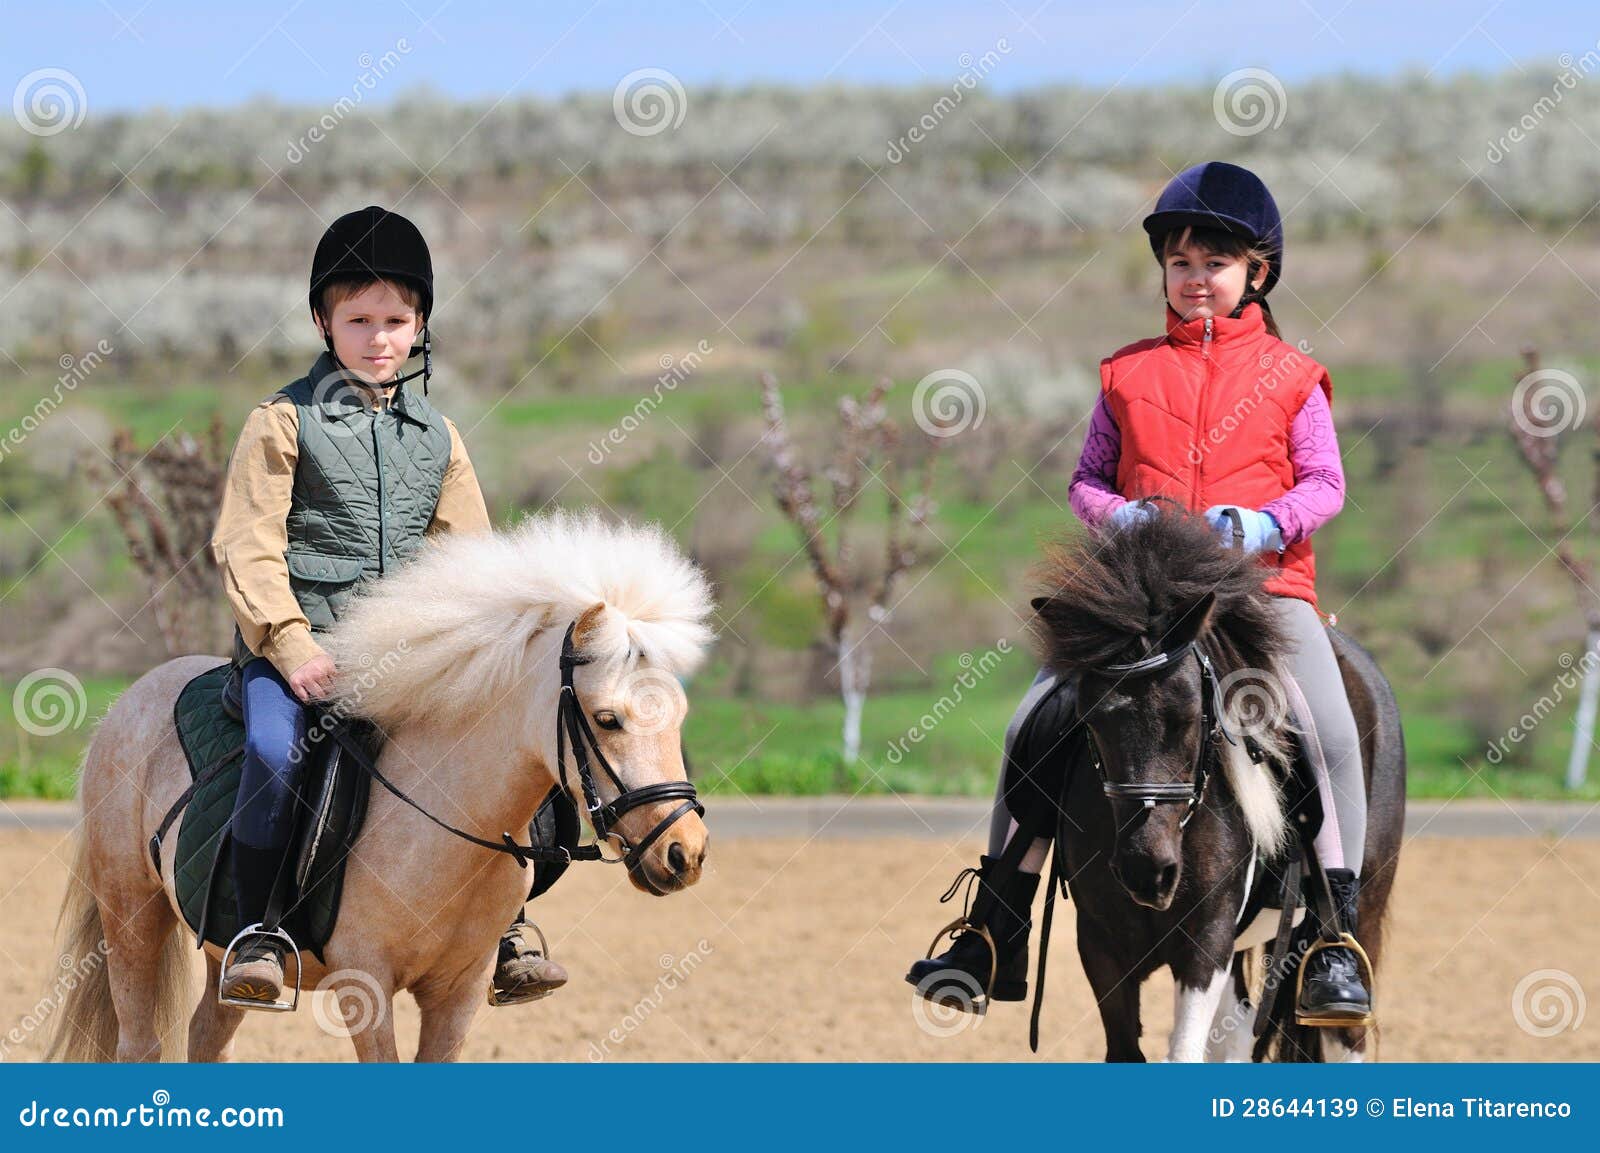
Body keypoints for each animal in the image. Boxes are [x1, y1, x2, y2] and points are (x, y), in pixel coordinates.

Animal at [45, 510, 716, 1062]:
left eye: (681, 714)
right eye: (607, 719)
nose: (683, 853)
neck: (450, 821)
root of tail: (132, 698)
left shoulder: (460, 991)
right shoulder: (364, 983)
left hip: (215, 950)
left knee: (207, 1035)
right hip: (131, 915)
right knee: (140, 1043)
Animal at [1026, 510, 1405, 1062]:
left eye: (1191, 713)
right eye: (1091, 718)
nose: (1146, 871)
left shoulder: (1207, 938)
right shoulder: (1100, 943)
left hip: (1362, 910)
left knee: (1344, 1033)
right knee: (1238, 1030)